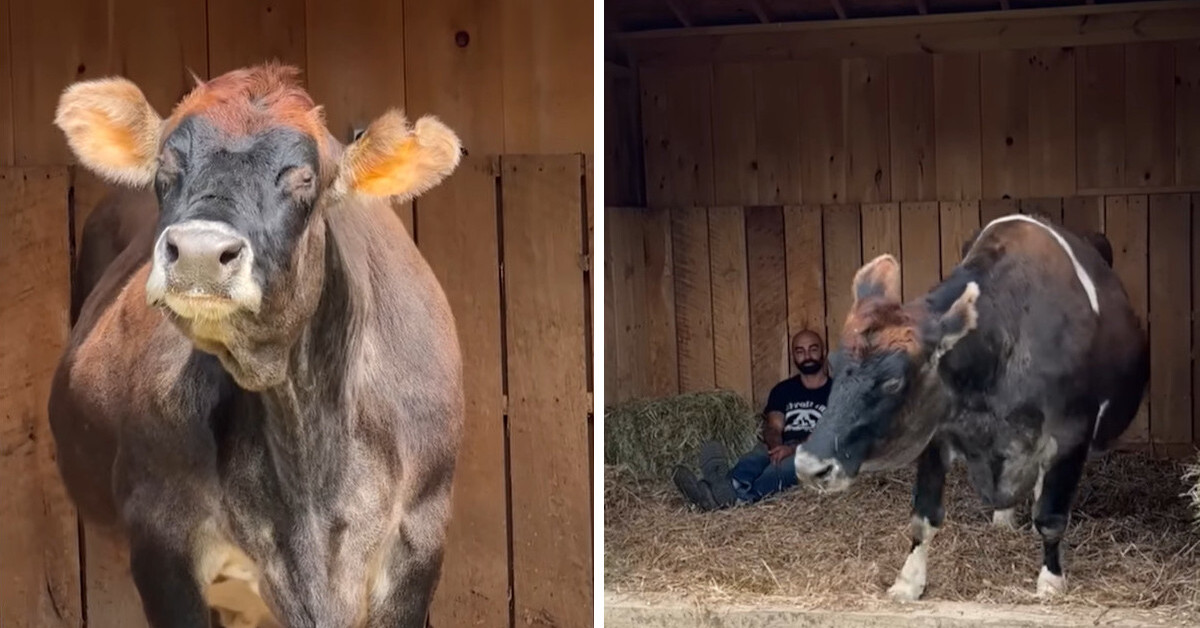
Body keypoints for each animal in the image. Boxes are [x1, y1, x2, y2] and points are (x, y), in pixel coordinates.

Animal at [792, 213, 1148, 602]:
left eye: (893, 382)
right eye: (833, 363)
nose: (809, 466)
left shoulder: (1072, 431)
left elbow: (1051, 519)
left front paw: (1051, 581)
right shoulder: (935, 430)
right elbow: (924, 516)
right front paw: (908, 582)